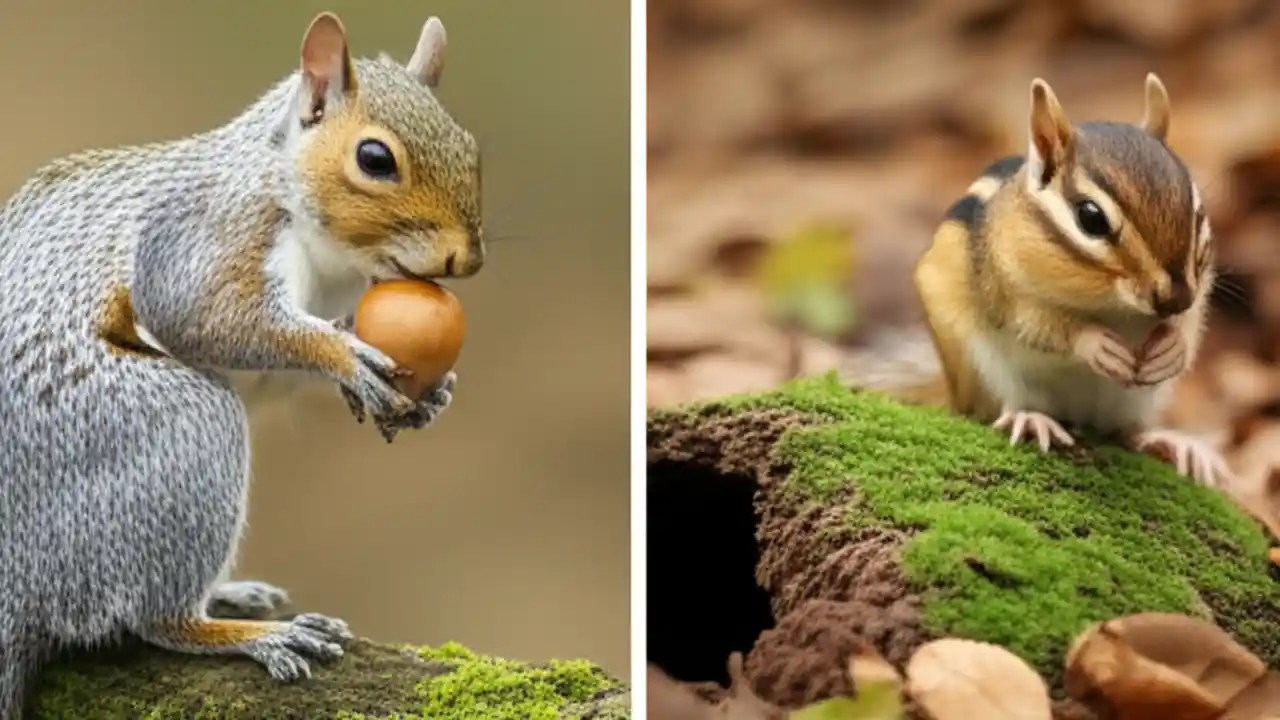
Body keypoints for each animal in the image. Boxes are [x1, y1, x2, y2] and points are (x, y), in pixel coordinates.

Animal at [0, 12, 482, 716]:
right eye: (374, 158)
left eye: (472, 148)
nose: (465, 260)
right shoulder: (206, 235)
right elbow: (207, 317)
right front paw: (346, 356)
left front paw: (431, 391)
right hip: (168, 432)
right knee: (155, 620)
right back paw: (252, 634)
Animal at [903, 73, 1231, 487]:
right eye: (1090, 218)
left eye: (1199, 215)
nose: (1173, 299)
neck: (1114, 306)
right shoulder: (1006, 287)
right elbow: (1040, 325)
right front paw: (1094, 343)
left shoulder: (1198, 290)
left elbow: (1190, 323)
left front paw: (1172, 347)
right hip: (976, 365)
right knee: (998, 407)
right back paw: (1030, 418)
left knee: (1129, 432)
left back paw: (1176, 444)